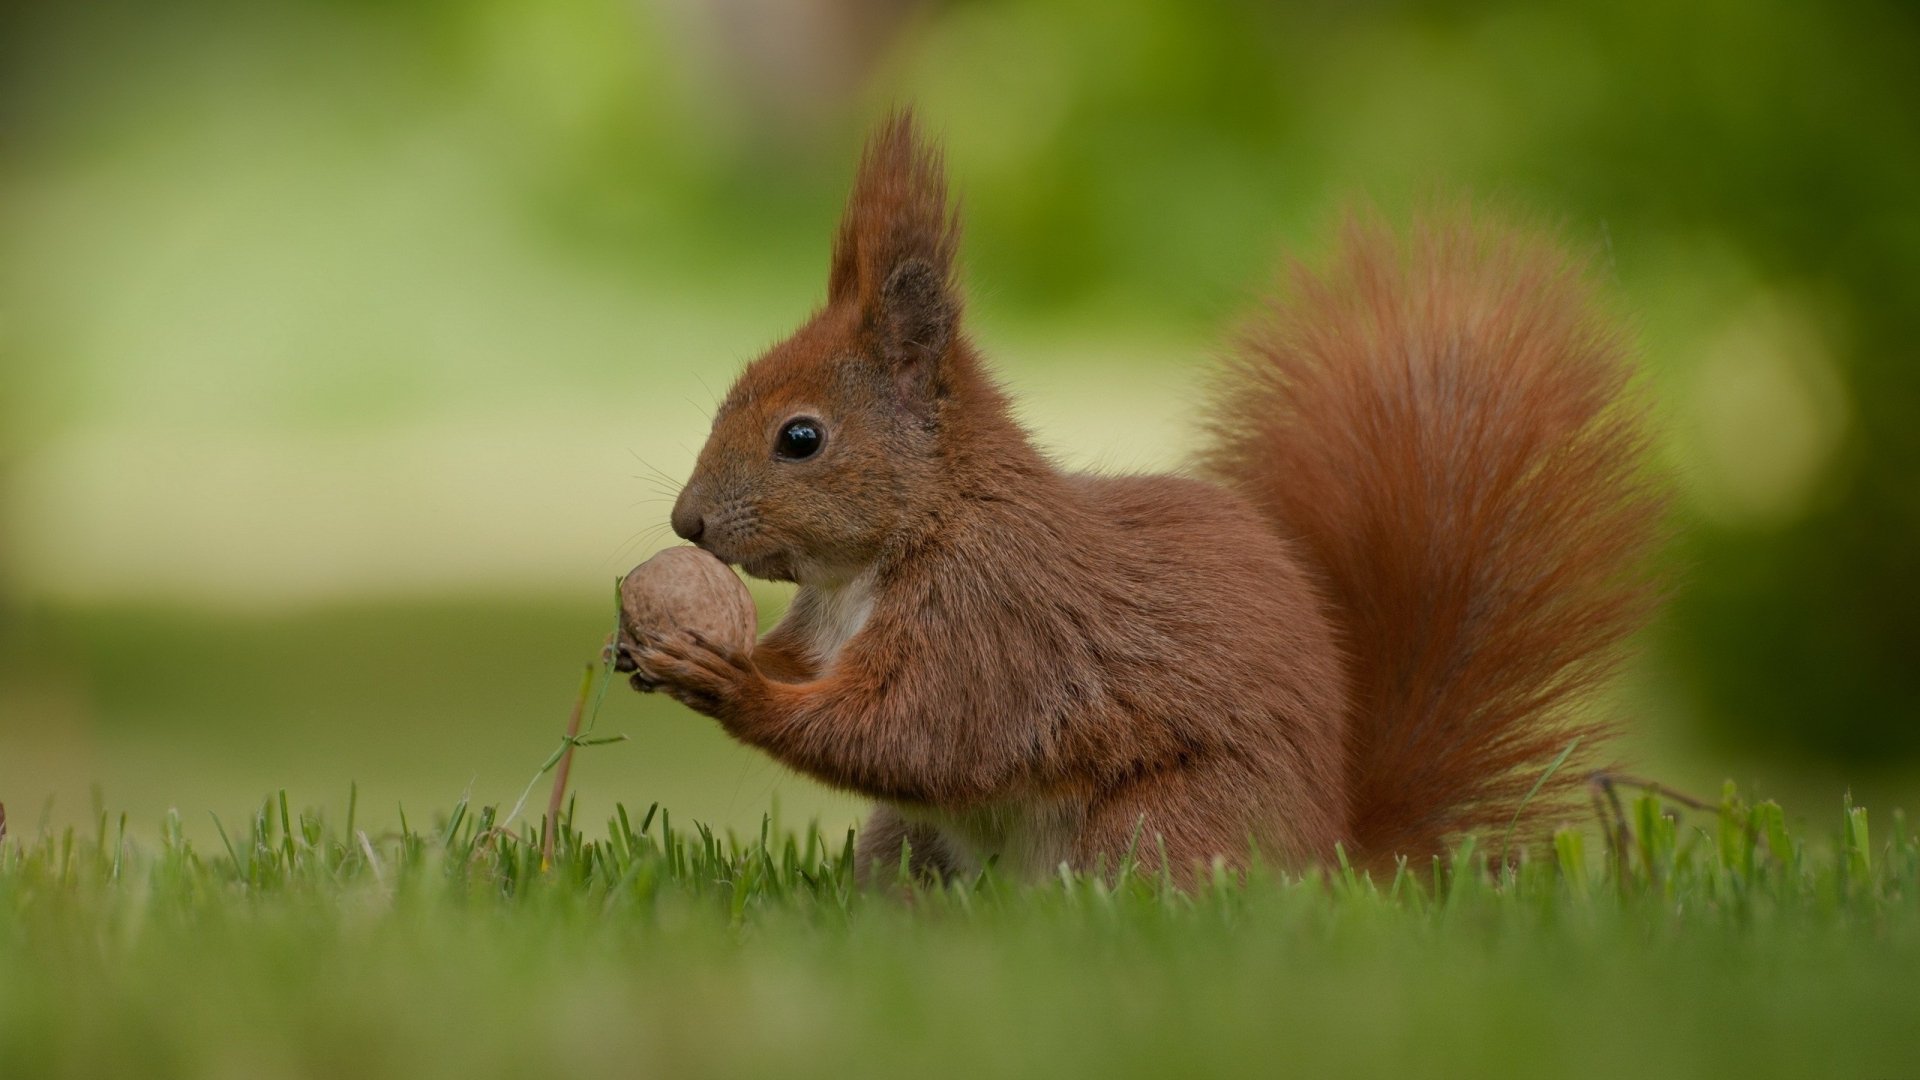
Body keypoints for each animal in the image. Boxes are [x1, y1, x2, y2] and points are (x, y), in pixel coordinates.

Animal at [620, 109, 1664, 883]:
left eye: (801, 438)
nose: (687, 522)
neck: (883, 556)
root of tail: (1332, 856)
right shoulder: (833, 626)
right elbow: (818, 677)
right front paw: (657, 650)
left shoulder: (996, 623)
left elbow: (914, 735)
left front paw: (733, 684)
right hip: (907, 843)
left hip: (1155, 828)